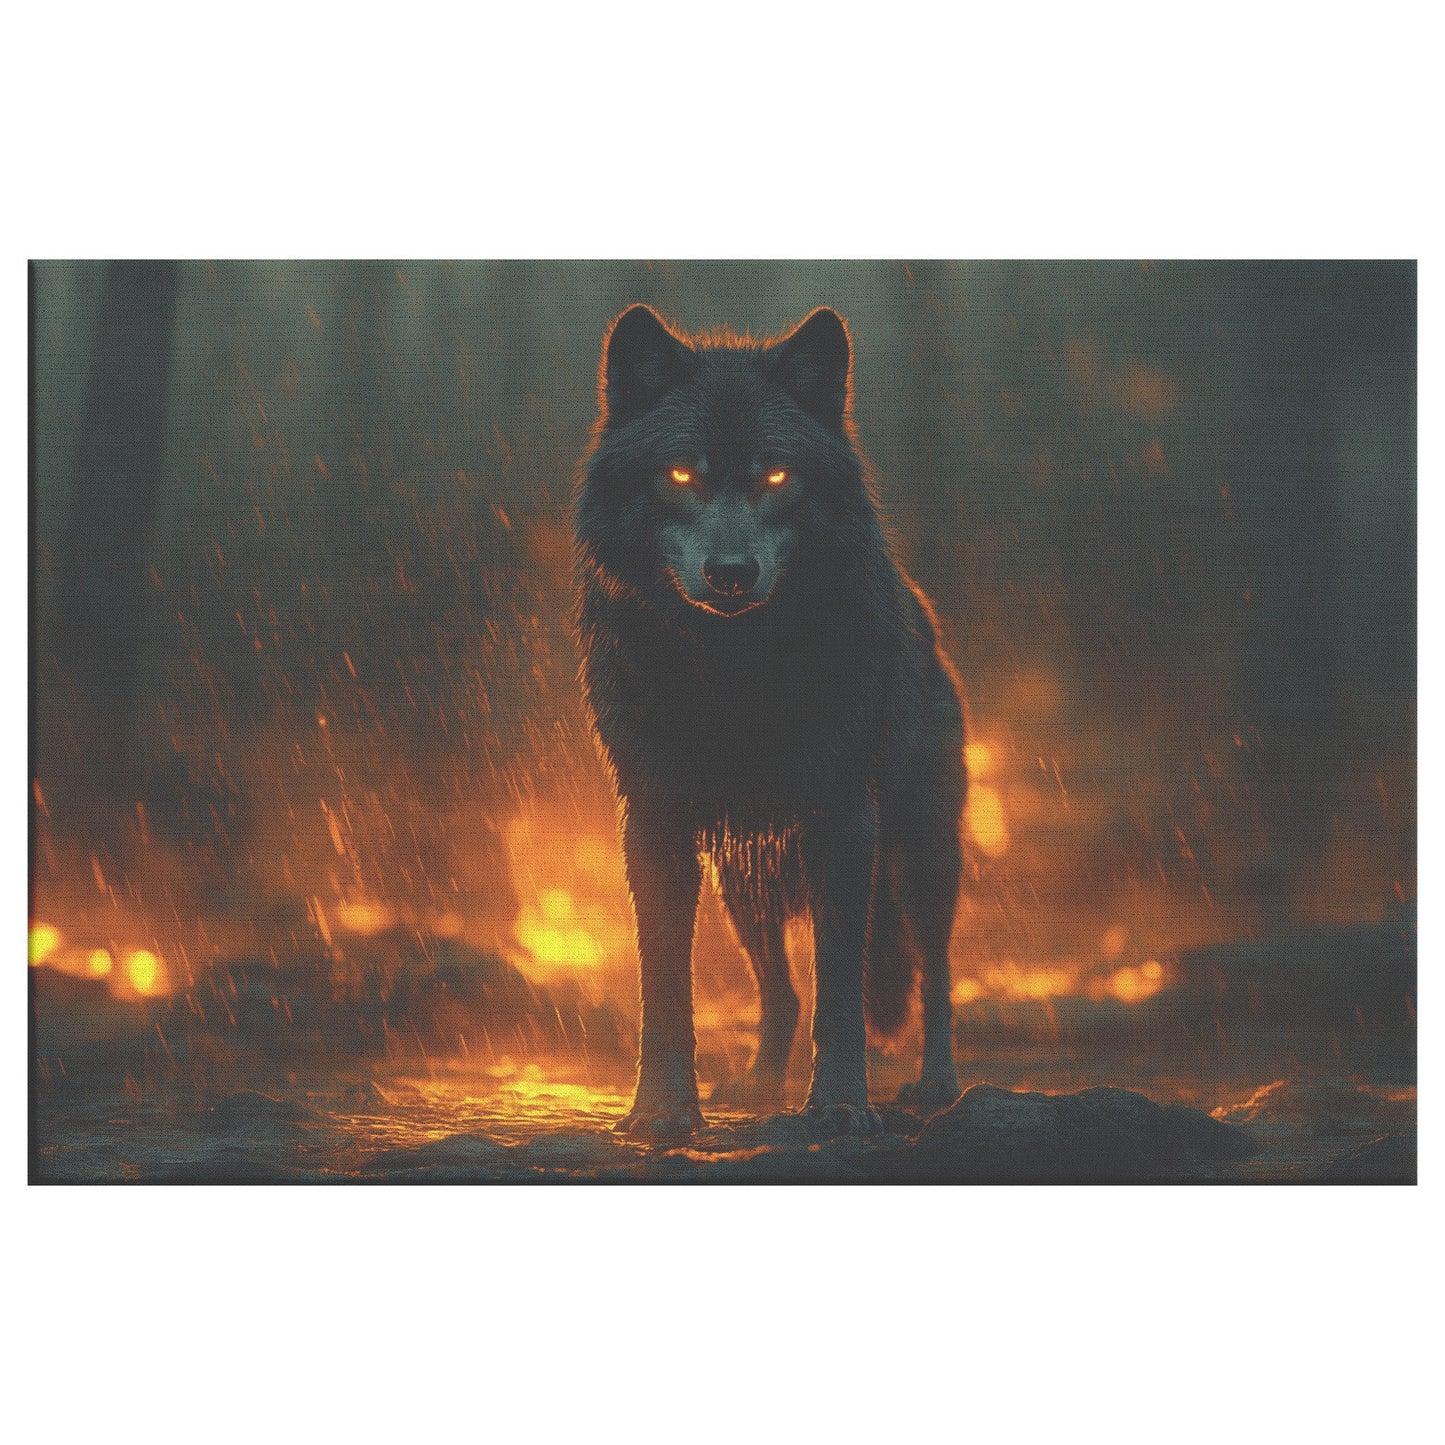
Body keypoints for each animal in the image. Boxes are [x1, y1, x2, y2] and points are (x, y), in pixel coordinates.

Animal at [573, 304, 967, 1138]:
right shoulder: (654, 823)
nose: (730, 573)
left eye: (777, 477)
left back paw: (936, 1084)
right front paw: (661, 1108)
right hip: (743, 880)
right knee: (779, 992)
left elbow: (841, 990)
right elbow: (665, 986)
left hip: (917, 856)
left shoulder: (846, 821)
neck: (734, 673)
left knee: (937, 976)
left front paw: (841, 1102)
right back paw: (757, 1085)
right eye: (681, 474)